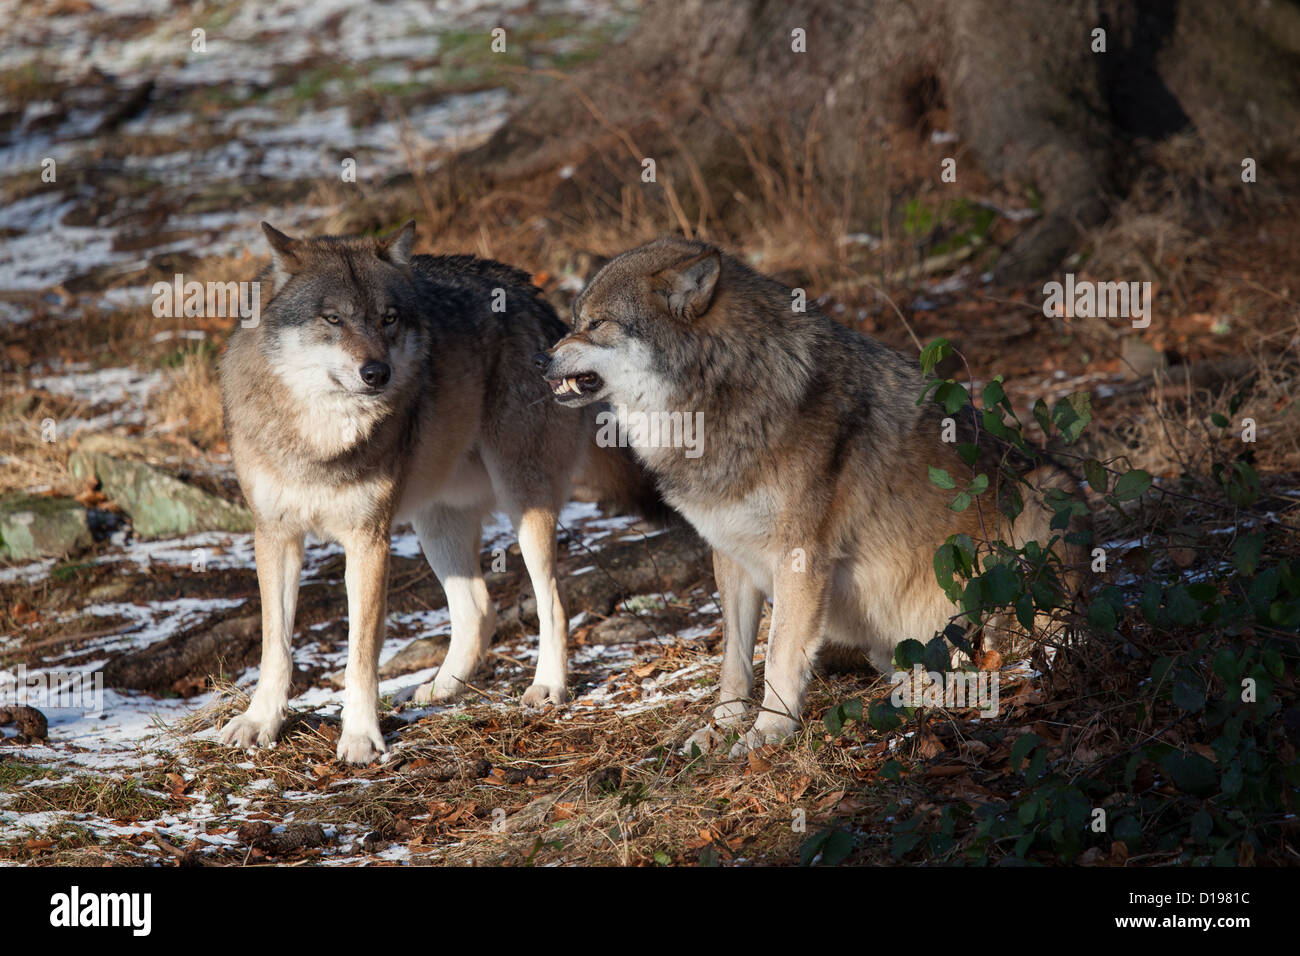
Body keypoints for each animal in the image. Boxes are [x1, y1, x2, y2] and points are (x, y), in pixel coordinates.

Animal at [218, 221, 634, 764]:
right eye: (333, 318)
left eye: (388, 318)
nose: (377, 373)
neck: (321, 439)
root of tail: (542, 304)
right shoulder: (275, 535)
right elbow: (276, 649)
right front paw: (260, 722)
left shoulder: (368, 540)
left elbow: (361, 654)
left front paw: (360, 736)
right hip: (435, 524)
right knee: (479, 609)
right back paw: (441, 690)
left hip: (524, 502)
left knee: (553, 603)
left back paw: (548, 686)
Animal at [537, 237, 1083, 754]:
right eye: (575, 321)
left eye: (596, 323)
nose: (541, 359)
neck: (721, 394)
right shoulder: (729, 556)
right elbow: (735, 660)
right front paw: (722, 728)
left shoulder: (800, 557)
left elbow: (779, 655)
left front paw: (767, 733)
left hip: (1046, 495)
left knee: (1011, 643)